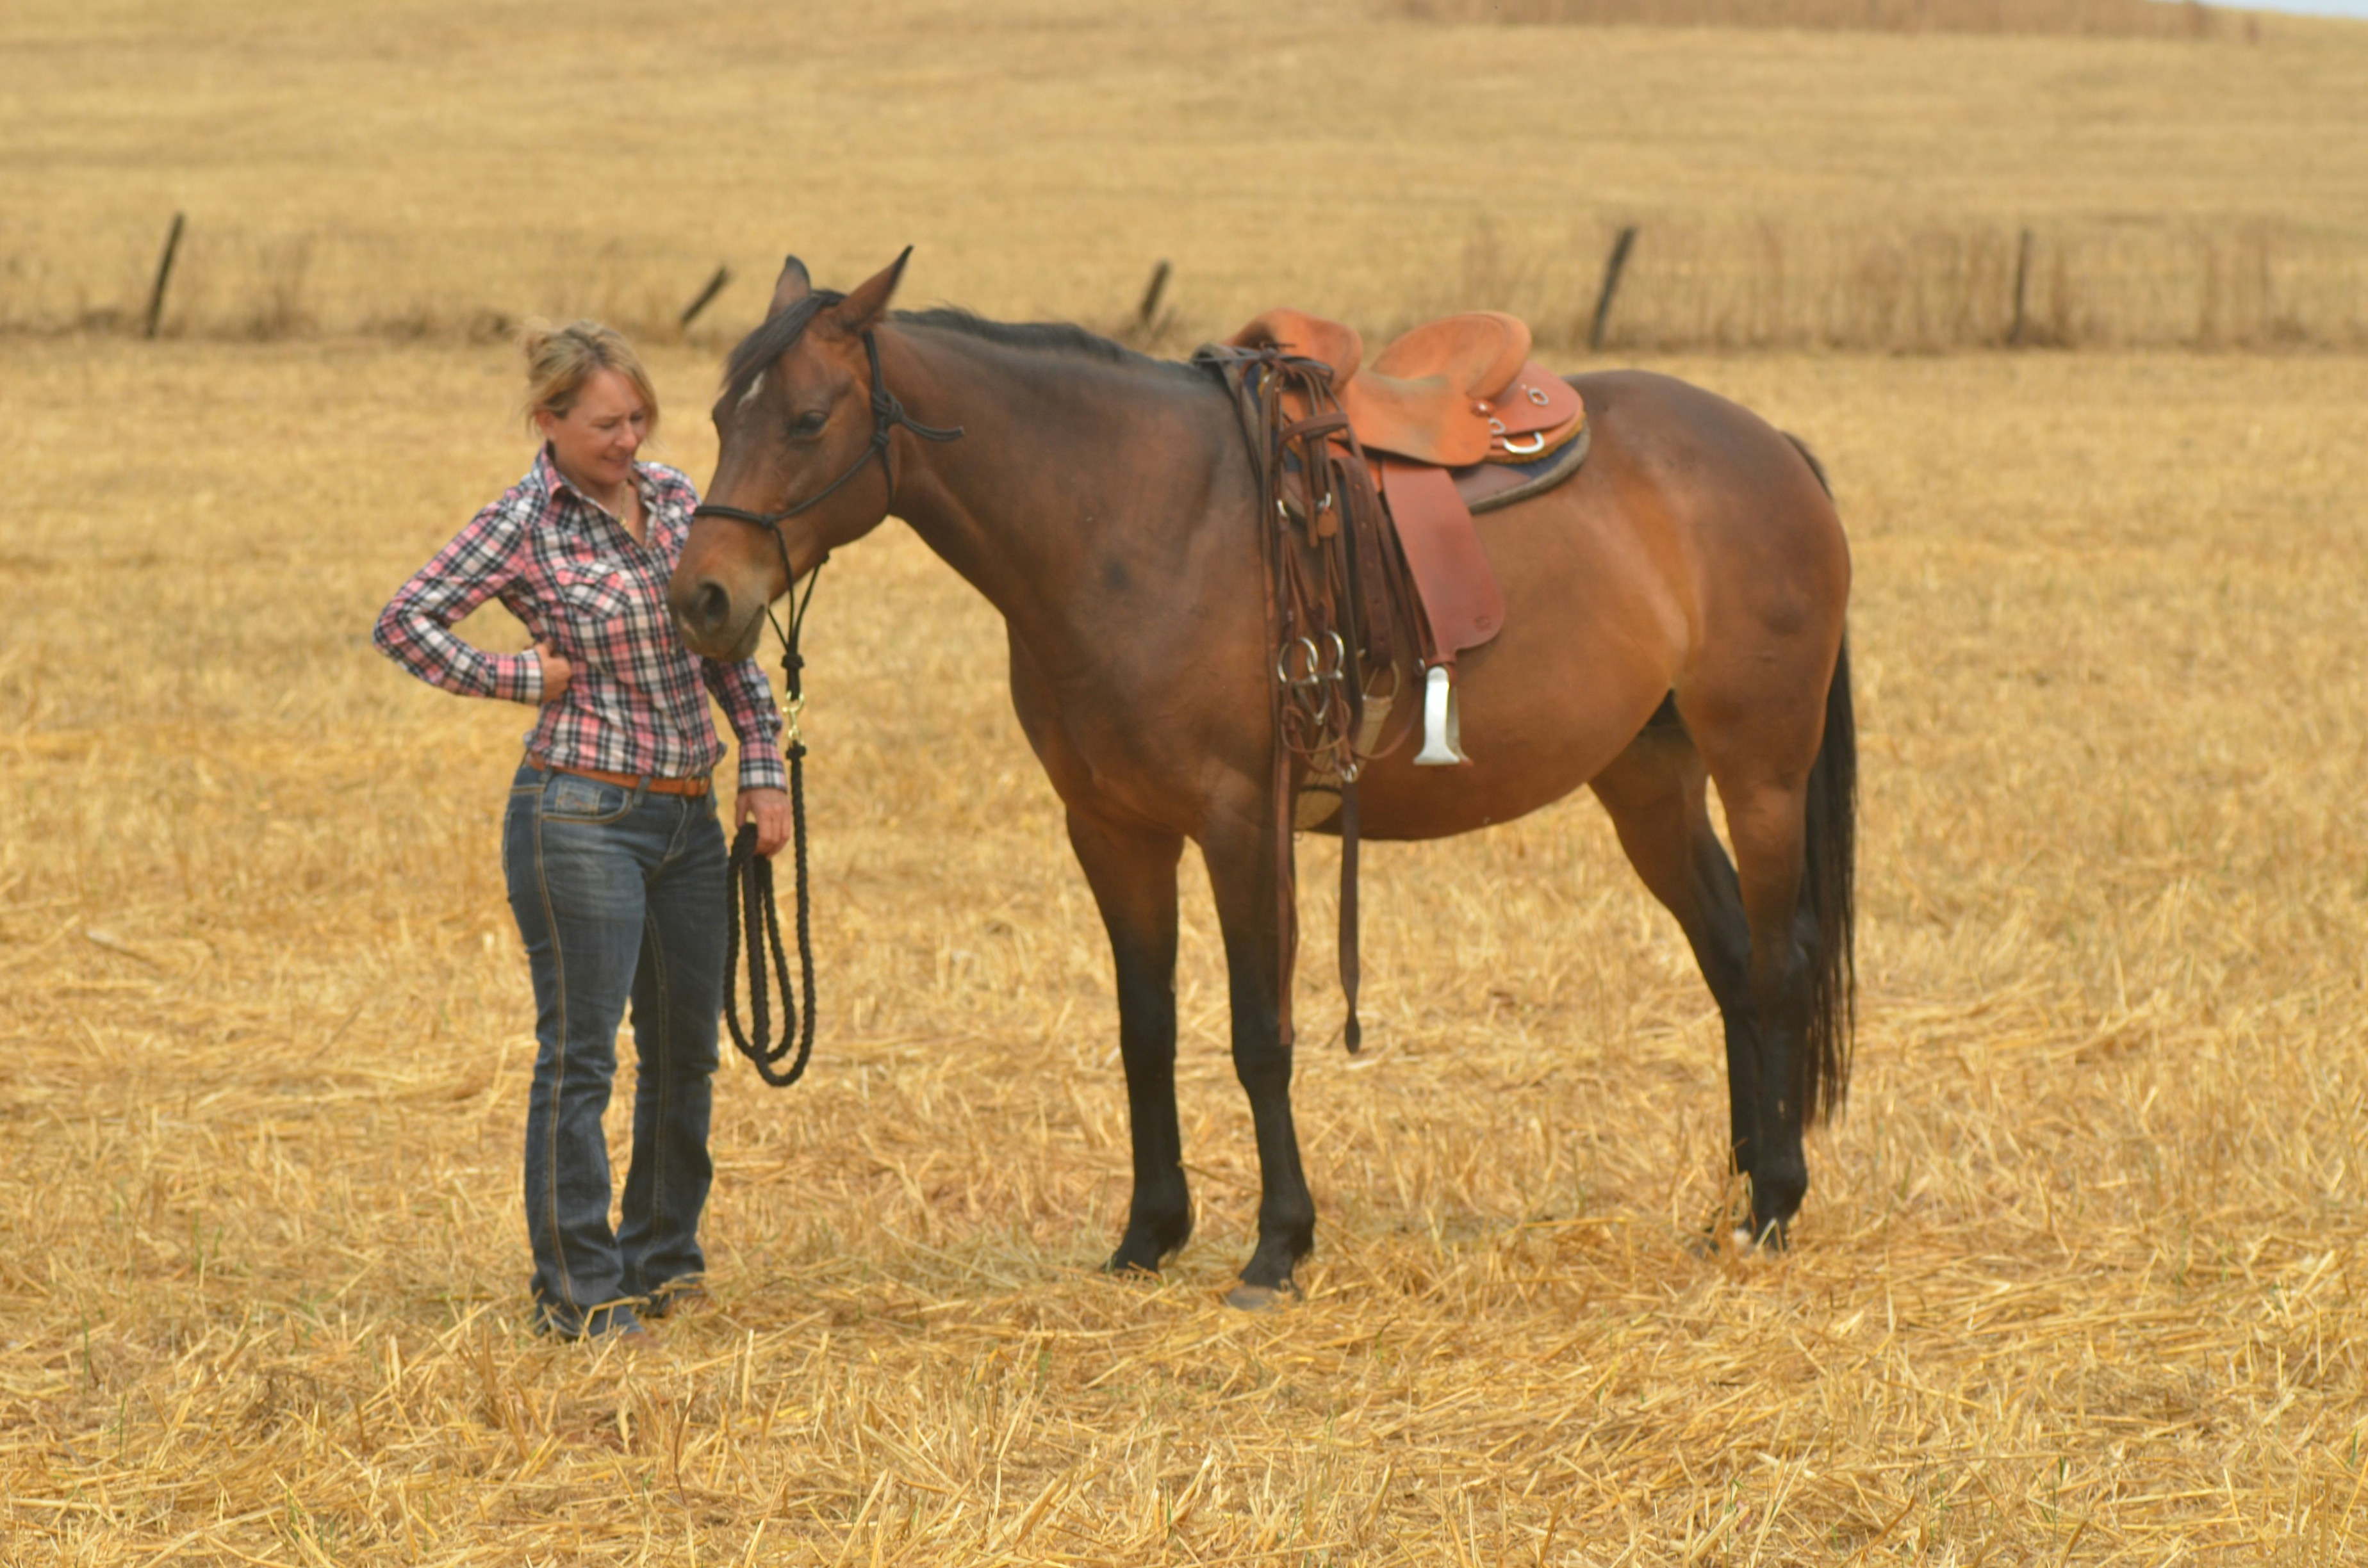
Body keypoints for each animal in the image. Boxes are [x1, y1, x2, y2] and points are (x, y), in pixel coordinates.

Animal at [668, 251, 1856, 1308]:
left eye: (808, 420)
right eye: (724, 419)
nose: (701, 599)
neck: (1128, 520)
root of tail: (1772, 447)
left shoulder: (1243, 824)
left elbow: (1256, 1033)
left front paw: (1278, 1244)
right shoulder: (1111, 829)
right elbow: (1143, 1029)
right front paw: (1148, 1235)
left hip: (1760, 768)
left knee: (1782, 960)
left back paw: (1775, 1202)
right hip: (1648, 782)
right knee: (1730, 960)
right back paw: (1732, 1200)